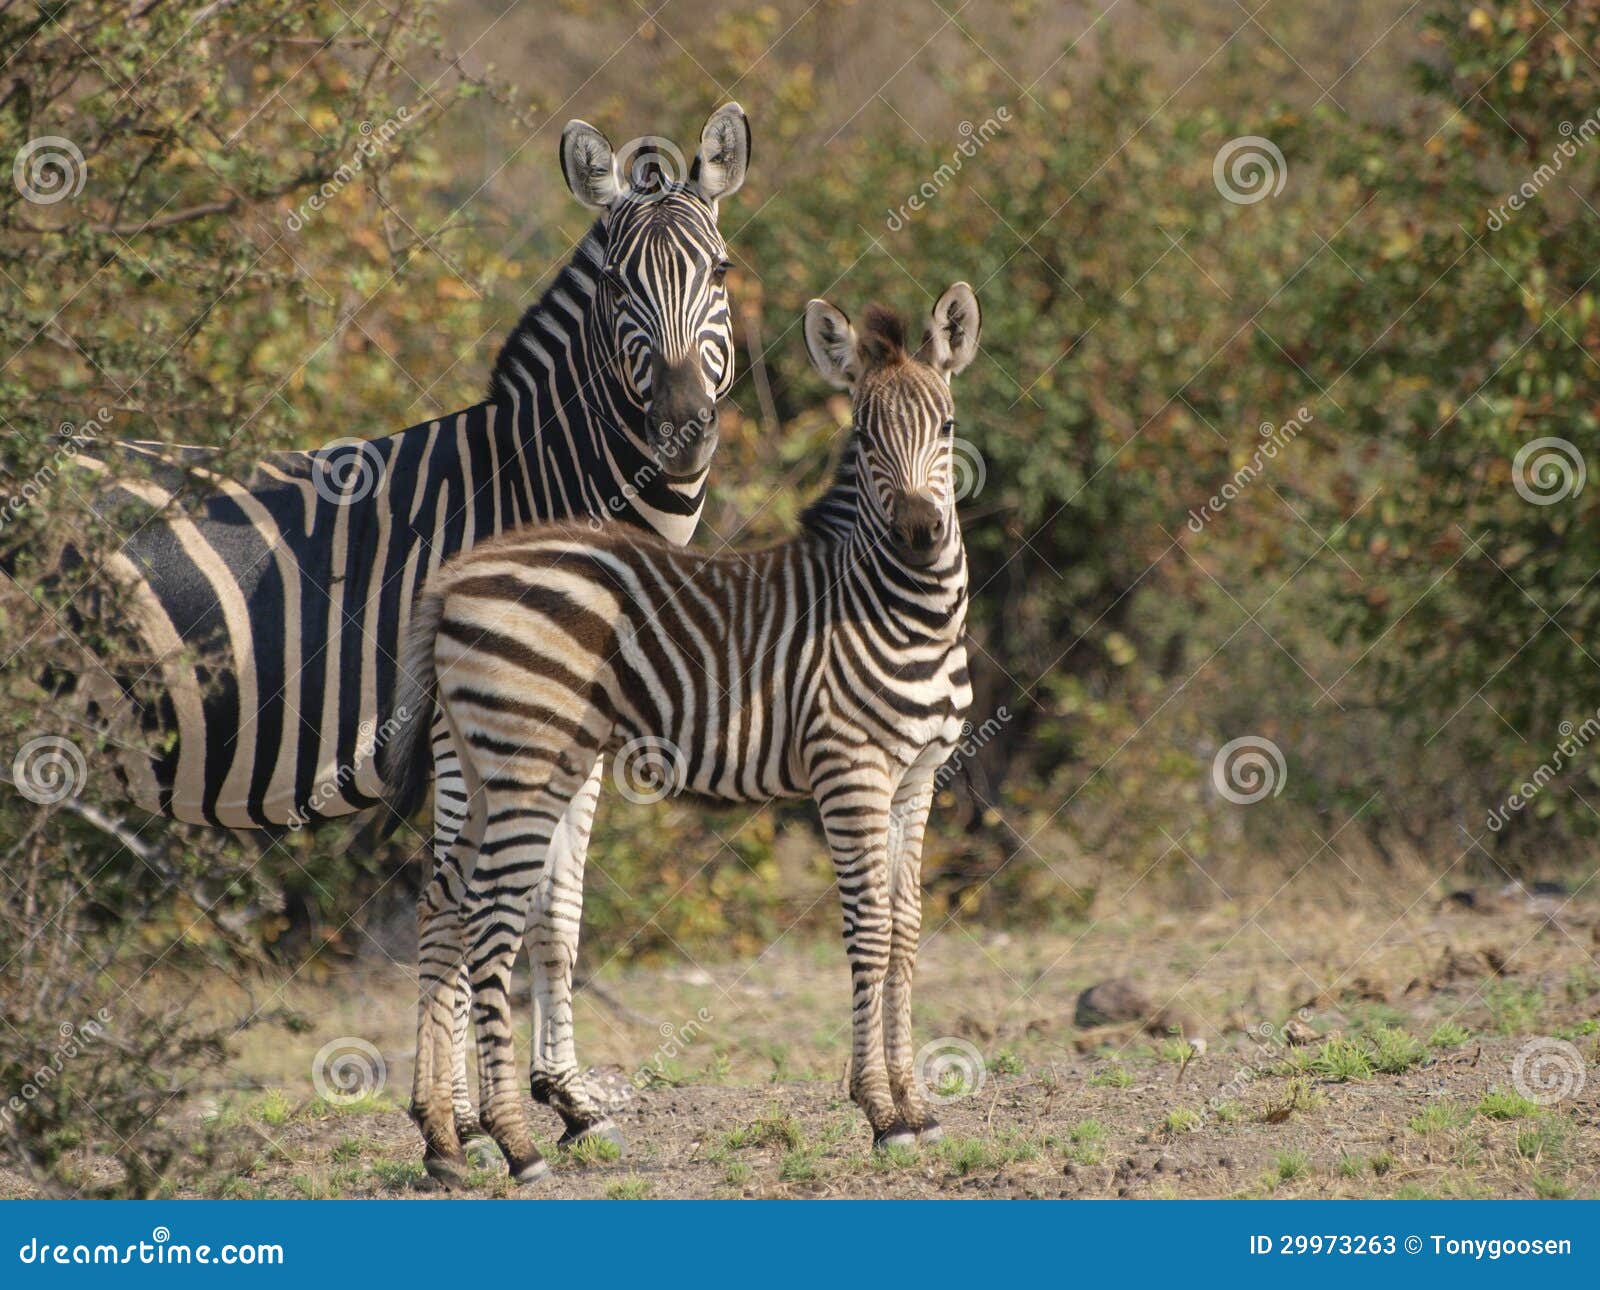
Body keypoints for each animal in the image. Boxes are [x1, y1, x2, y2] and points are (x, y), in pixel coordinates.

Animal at [14, 104, 751, 1150]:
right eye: (617, 286)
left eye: (721, 271)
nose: (683, 430)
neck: (544, 492)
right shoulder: (458, 727)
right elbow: (464, 899)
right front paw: (455, 1121)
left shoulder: (572, 729)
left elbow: (554, 910)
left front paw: (558, 1097)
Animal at [383, 283, 981, 1183]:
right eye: (865, 438)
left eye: (945, 428)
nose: (918, 532)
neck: (902, 610)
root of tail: (457, 573)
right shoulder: (848, 770)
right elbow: (870, 929)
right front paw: (881, 1112)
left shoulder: (918, 778)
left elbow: (906, 930)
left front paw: (915, 1105)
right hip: (528, 762)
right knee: (489, 924)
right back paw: (517, 1144)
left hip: (478, 758)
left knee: (445, 908)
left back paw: (446, 1142)